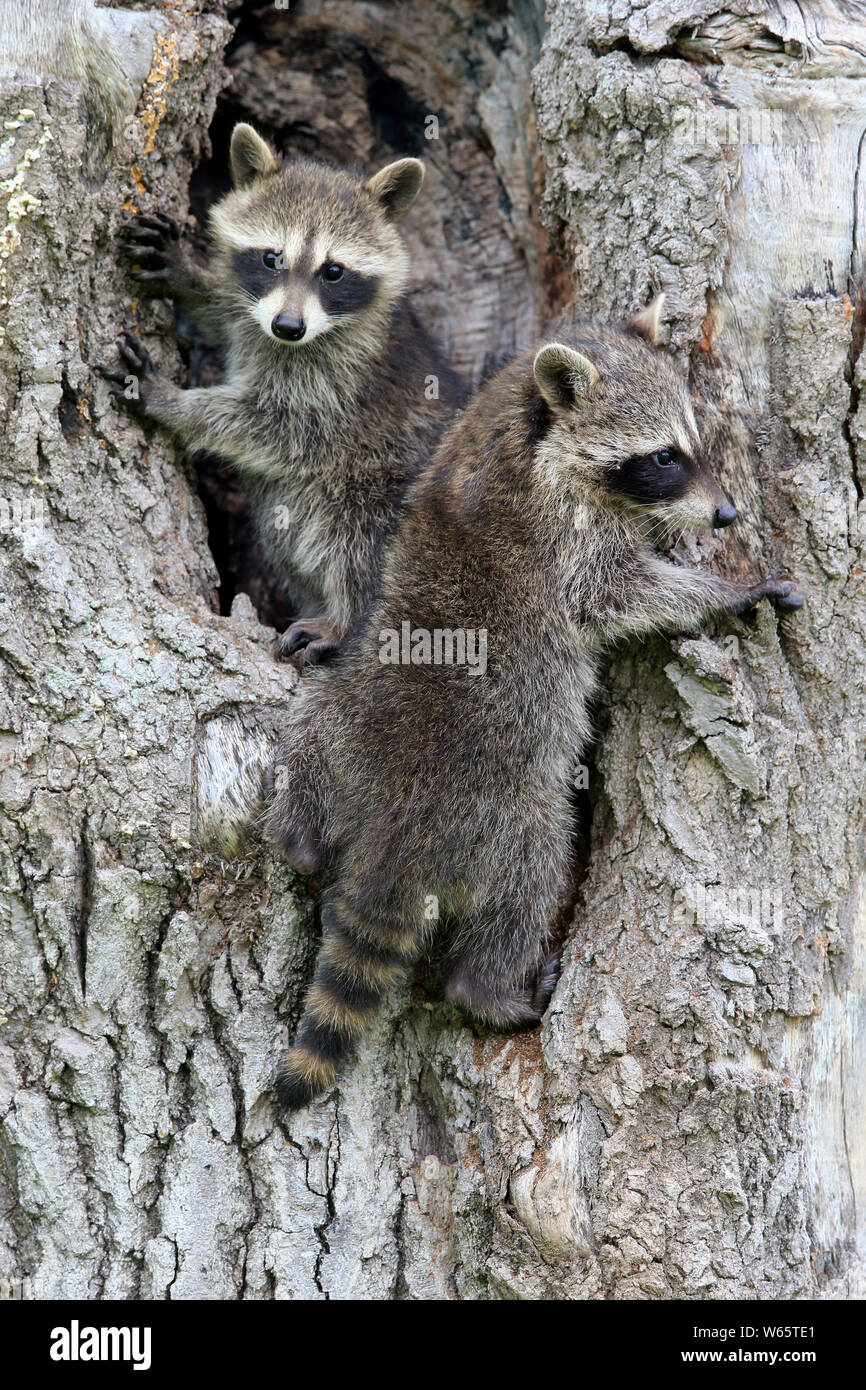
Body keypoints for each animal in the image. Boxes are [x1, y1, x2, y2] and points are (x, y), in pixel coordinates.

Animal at [101, 124, 465, 663]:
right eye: (272, 258)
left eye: (333, 271)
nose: (288, 327)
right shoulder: (254, 315)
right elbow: (225, 310)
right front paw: (189, 273)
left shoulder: (339, 384)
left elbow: (283, 432)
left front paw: (174, 402)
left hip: (392, 481)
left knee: (358, 534)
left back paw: (344, 618)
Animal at [264, 298, 805, 1110]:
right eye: (664, 458)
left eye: (691, 445)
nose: (727, 516)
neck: (527, 426)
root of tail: (393, 830)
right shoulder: (564, 536)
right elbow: (617, 594)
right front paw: (725, 592)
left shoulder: (463, 432)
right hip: (506, 823)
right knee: (527, 879)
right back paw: (491, 989)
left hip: (330, 734)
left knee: (308, 753)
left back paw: (298, 837)